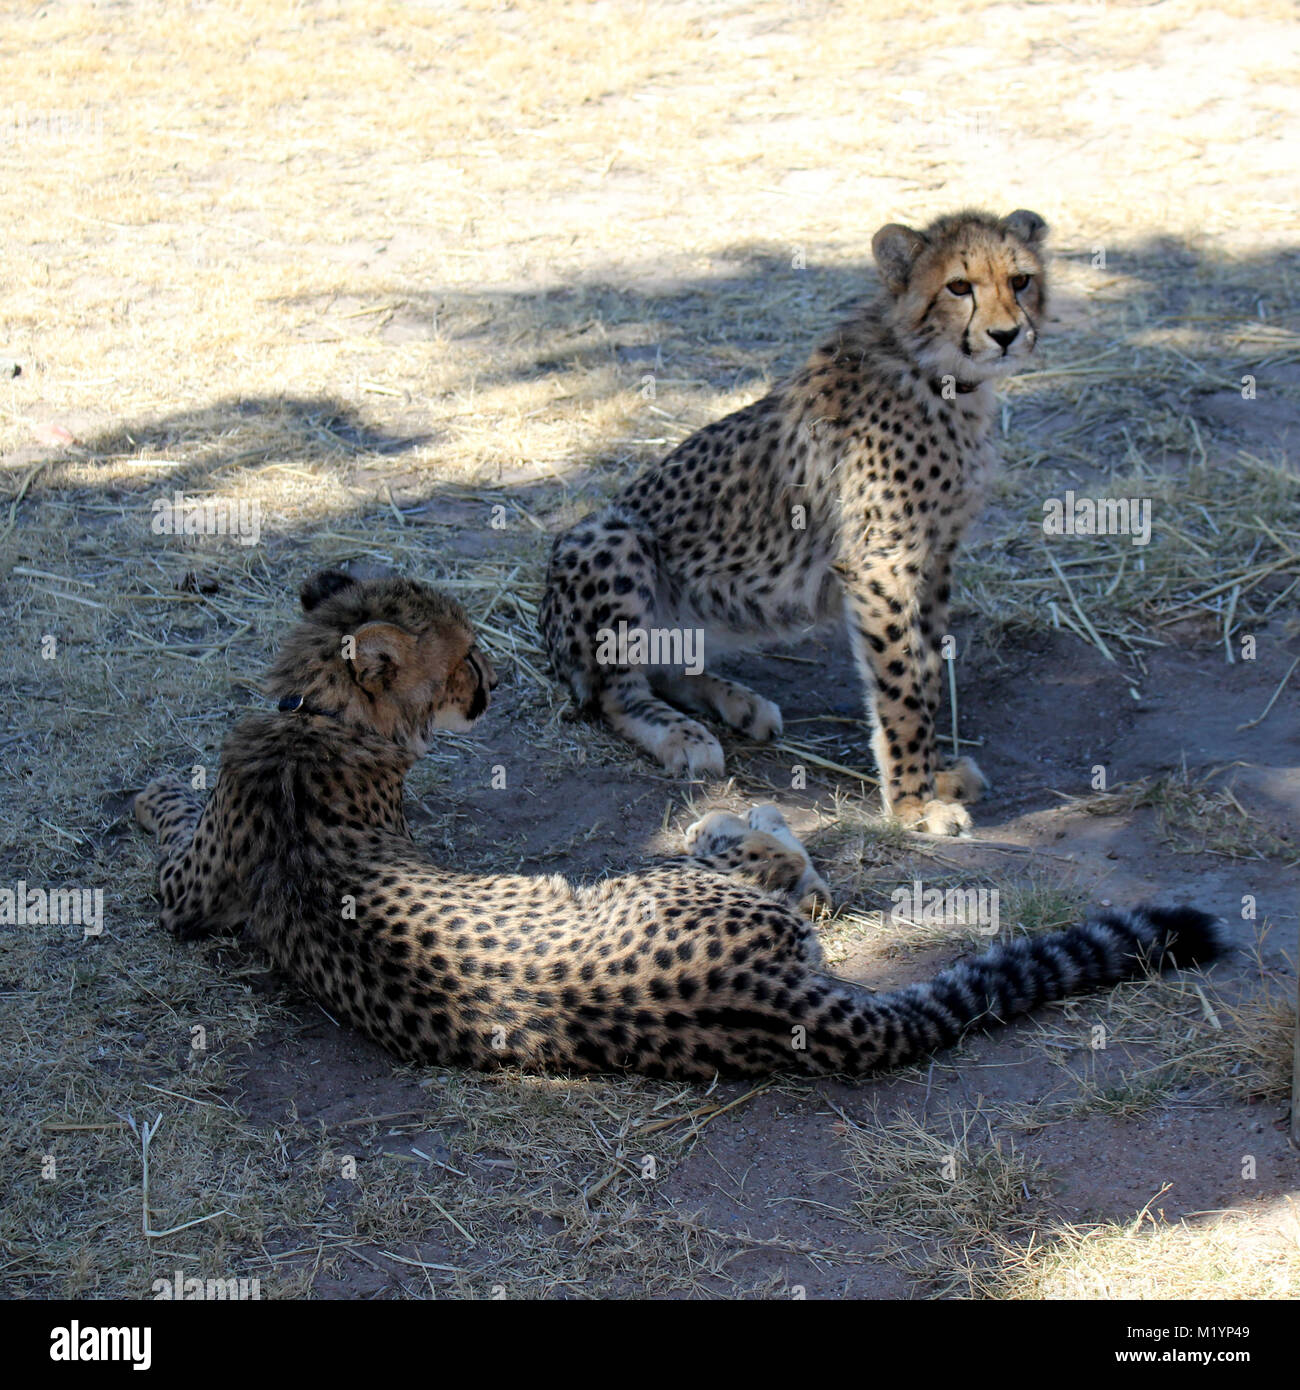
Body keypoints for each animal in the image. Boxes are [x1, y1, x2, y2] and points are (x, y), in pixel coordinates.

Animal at [134, 568, 1221, 1080]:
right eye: (464, 655)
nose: (495, 683)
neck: (315, 710)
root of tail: (778, 1005)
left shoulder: (184, 892)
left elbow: (170, 813)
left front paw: (143, 785)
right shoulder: (182, 893)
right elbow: (171, 817)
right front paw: (146, 787)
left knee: (786, 876)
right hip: (687, 889)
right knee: (794, 882)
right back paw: (761, 817)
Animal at [540, 207, 1051, 835]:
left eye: (1021, 280)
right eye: (959, 287)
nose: (1006, 335)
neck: (938, 374)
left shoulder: (935, 557)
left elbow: (928, 674)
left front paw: (937, 773)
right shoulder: (881, 565)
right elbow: (902, 691)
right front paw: (913, 802)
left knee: (666, 667)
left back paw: (740, 702)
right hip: (611, 536)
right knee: (615, 688)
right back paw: (683, 735)